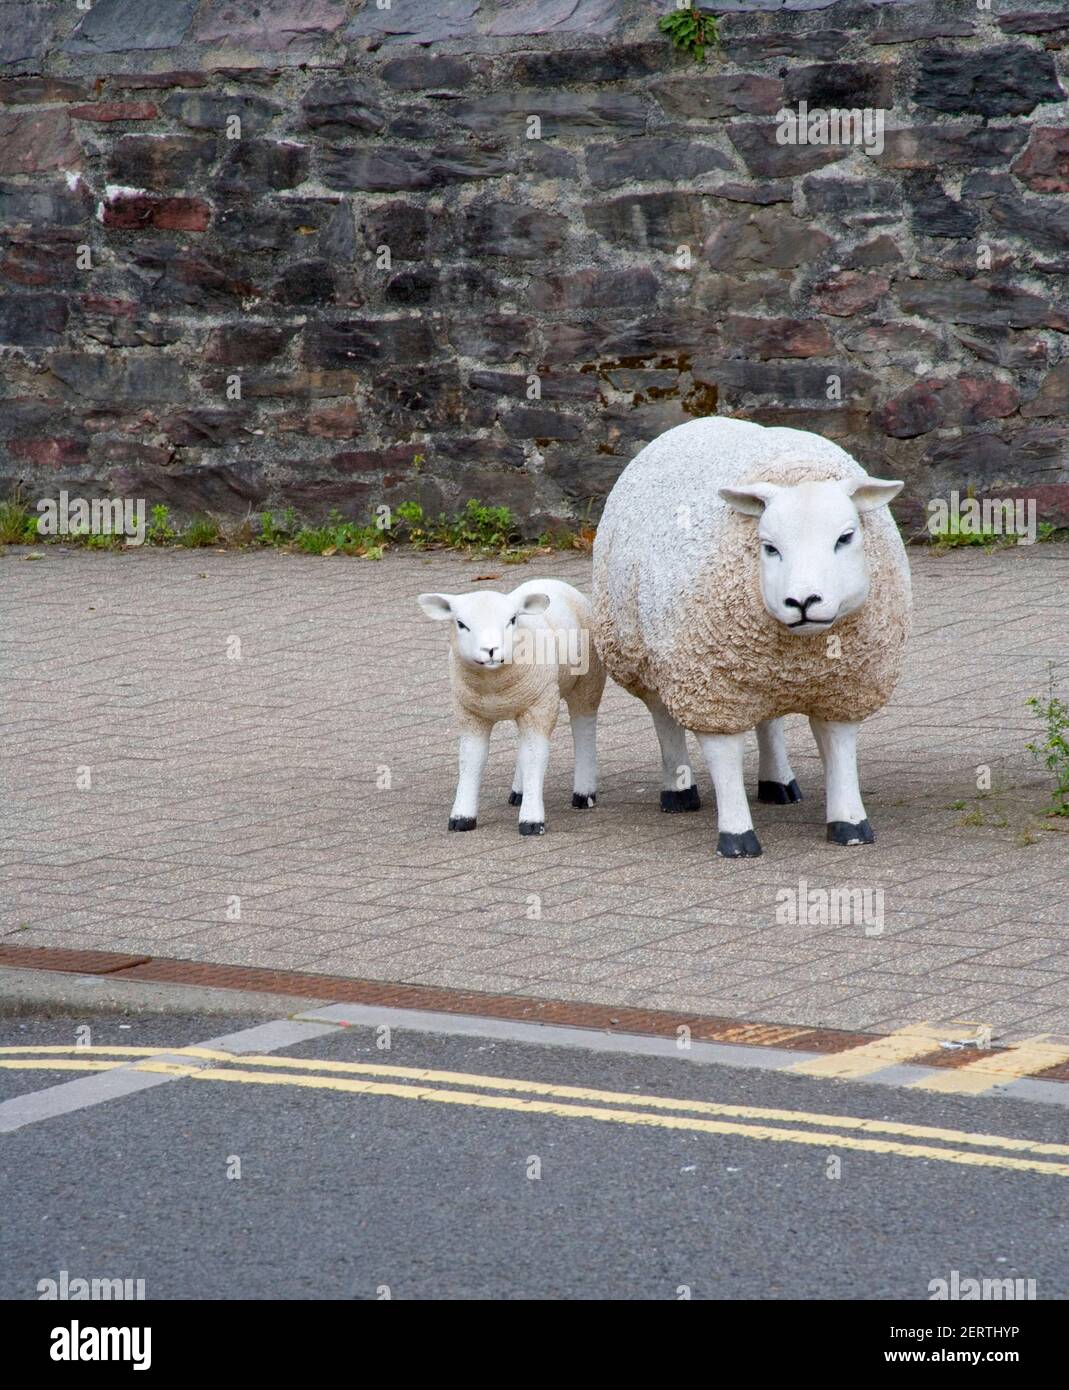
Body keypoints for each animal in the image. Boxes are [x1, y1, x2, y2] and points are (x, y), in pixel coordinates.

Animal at [418, 579, 606, 836]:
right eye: (461, 624)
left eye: (512, 620)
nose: (490, 650)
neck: (493, 687)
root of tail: (550, 580)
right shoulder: (470, 714)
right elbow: (471, 759)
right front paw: (461, 817)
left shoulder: (540, 706)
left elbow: (536, 758)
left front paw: (532, 821)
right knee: (524, 744)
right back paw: (519, 791)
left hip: (588, 680)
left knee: (583, 727)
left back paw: (583, 793)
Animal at [592, 416, 911, 858]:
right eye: (769, 547)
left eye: (846, 537)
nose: (803, 601)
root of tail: (695, 423)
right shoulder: (712, 688)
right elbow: (725, 758)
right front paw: (737, 837)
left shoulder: (844, 686)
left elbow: (839, 748)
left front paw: (850, 823)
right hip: (641, 651)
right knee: (663, 717)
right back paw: (678, 789)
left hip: (754, 669)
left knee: (769, 718)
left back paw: (778, 783)